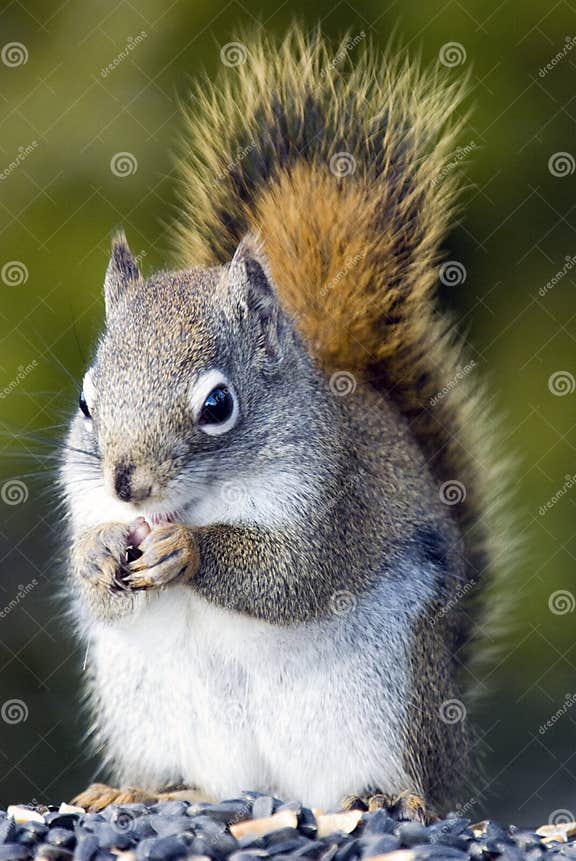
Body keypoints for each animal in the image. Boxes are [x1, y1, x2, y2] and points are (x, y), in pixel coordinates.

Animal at [62, 28, 507, 819]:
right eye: (88, 402)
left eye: (217, 406)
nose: (125, 486)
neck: (200, 498)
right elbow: (95, 588)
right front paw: (100, 551)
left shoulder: (334, 501)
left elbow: (291, 574)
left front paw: (188, 551)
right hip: (149, 711)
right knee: (195, 783)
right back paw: (137, 790)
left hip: (392, 698)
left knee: (405, 782)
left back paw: (393, 799)